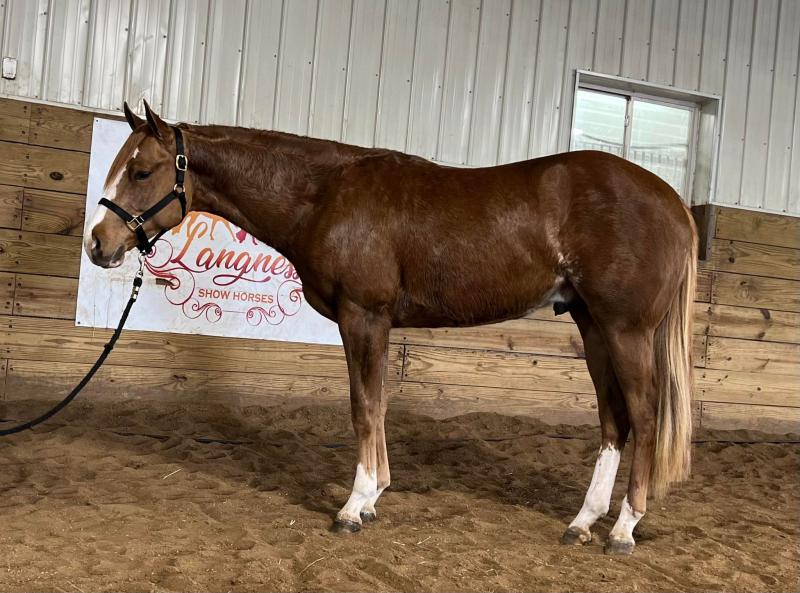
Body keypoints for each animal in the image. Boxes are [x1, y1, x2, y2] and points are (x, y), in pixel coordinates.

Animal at [84, 101, 697, 555]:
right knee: (614, 421)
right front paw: (374, 496)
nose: (98, 244)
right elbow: (376, 404)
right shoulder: (369, 322)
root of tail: (674, 203)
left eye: (142, 170)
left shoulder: (365, 316)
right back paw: (583, 521)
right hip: (592, 327)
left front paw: (354, 506)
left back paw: (624, 529)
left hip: (625, 330)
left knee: (644, 416)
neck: (324, 194)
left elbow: (364, 405)